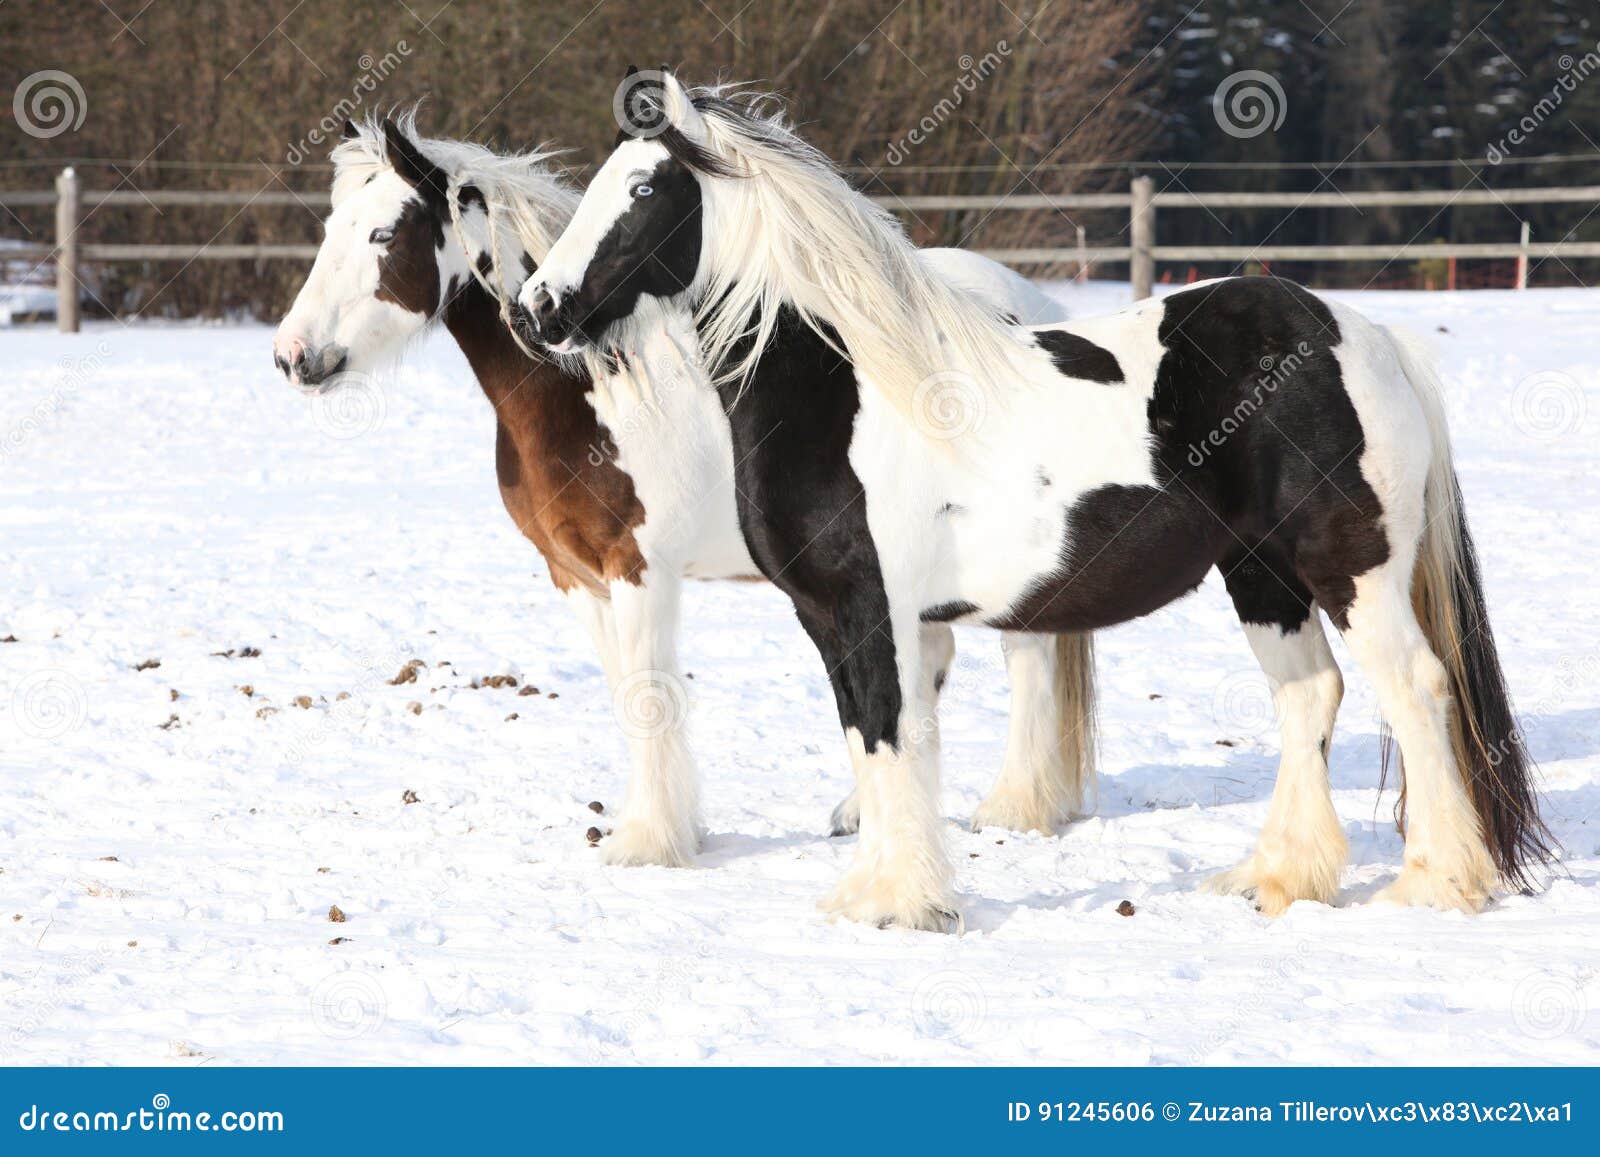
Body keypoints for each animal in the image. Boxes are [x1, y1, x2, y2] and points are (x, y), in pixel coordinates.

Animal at [270, 112, 1094, 872]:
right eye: (333, 229)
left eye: (382, 235)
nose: (291, 355)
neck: (589, 390)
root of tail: (1032, 308)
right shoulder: (576, 577)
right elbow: (628, 693)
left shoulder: (640, 569)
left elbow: (651, 694)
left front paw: (650, 842)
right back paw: (863, 810)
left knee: (1025, 658)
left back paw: (1015, 807)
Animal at [515, 71, 1552, 931]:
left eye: (644, 192)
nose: (538, 308)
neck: (848, 385)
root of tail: (1364, 337)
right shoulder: (837, 616)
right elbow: (870, 742)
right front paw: (877, 892)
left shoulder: (870, 609)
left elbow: (889, 738)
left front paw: (902, 905)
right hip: (1261, 573)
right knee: (1309, 695)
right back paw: (1278, 877)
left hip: (1351, 572)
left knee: (1416, 688)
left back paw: (1435, 883)